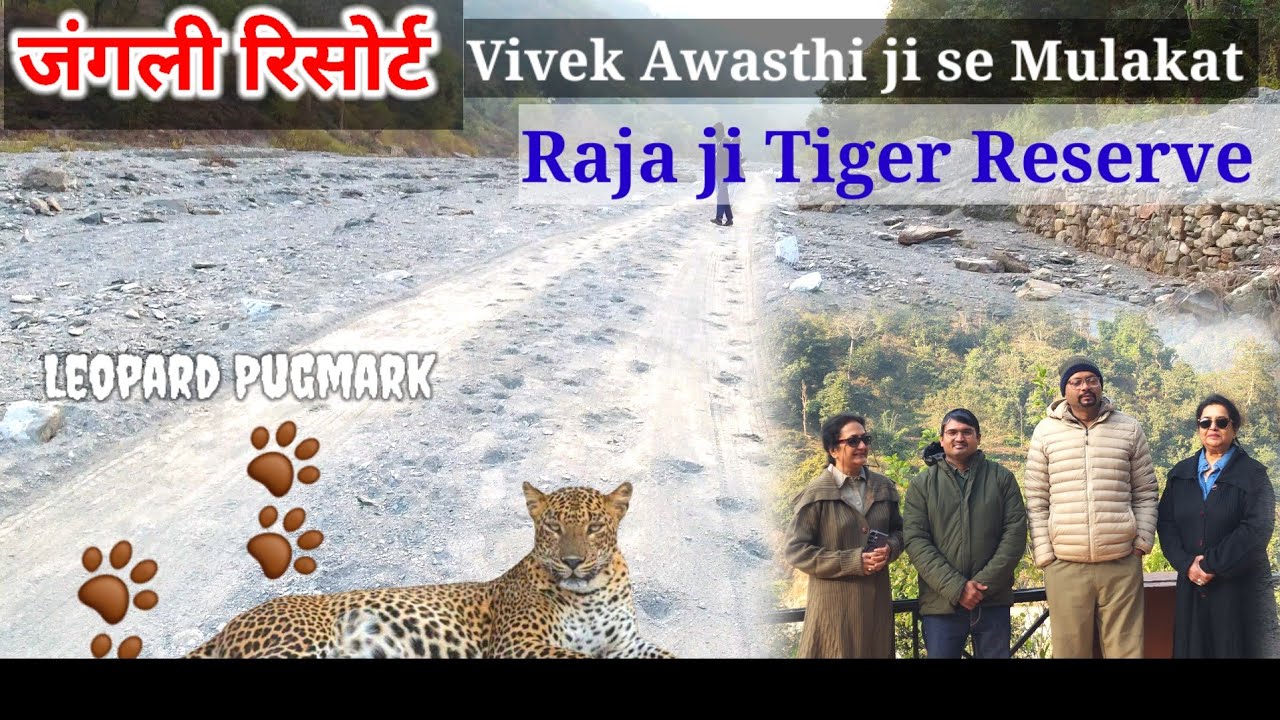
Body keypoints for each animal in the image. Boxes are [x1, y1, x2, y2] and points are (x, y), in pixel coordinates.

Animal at [187, 481, 674, 658]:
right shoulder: (519, 644)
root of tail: (230, 625)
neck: (589, 593)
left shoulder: (626, 644)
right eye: (553, 526)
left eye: (594, 527)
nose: (573, 561)